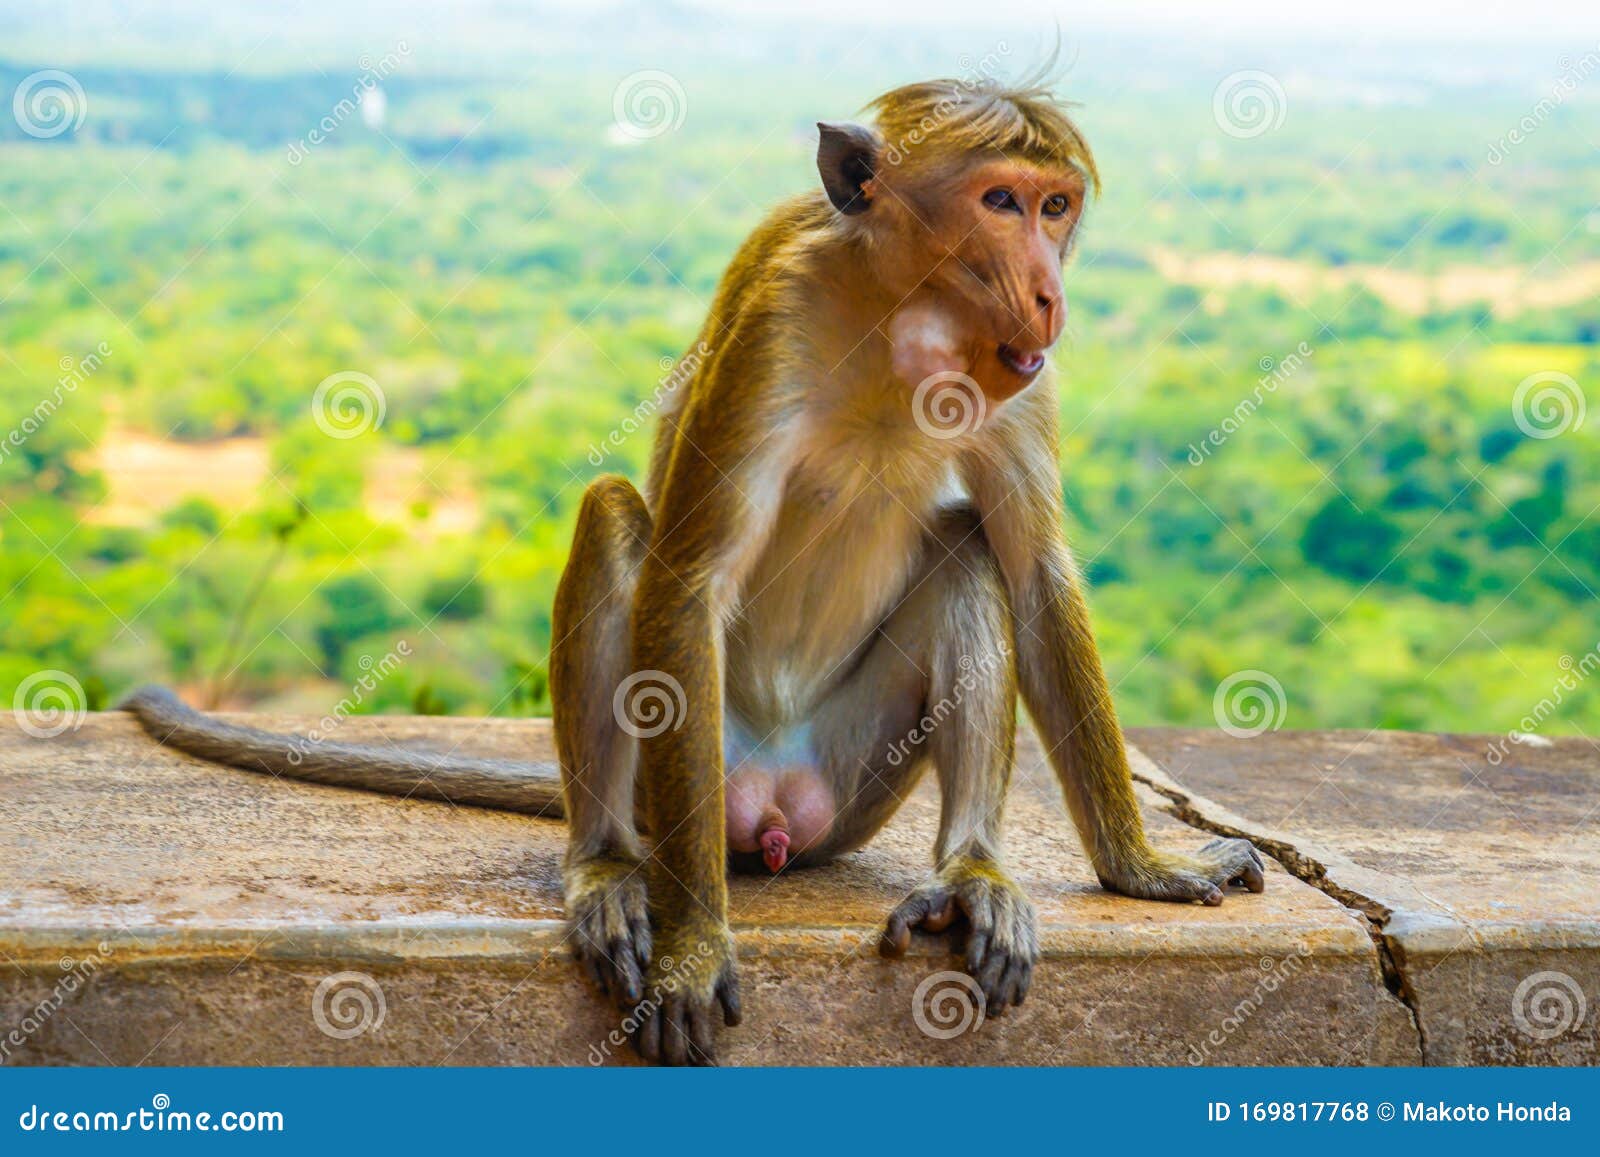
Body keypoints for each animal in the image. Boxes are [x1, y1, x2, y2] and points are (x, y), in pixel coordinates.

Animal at [122, 76, 1266, 1068]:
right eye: (998, 201)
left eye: (1053, 206)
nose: (1047, 290)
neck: (904, 320)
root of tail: (767, 804)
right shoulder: (776, 320)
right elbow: (688, 578)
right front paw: (691, 952)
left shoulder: (1020, 370)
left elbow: (1032, 571)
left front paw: (1144, 867)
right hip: (692, 779)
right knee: (616, 523)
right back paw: (611, 871)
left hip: (855, 773)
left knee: (966, 549)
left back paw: (967, 877)